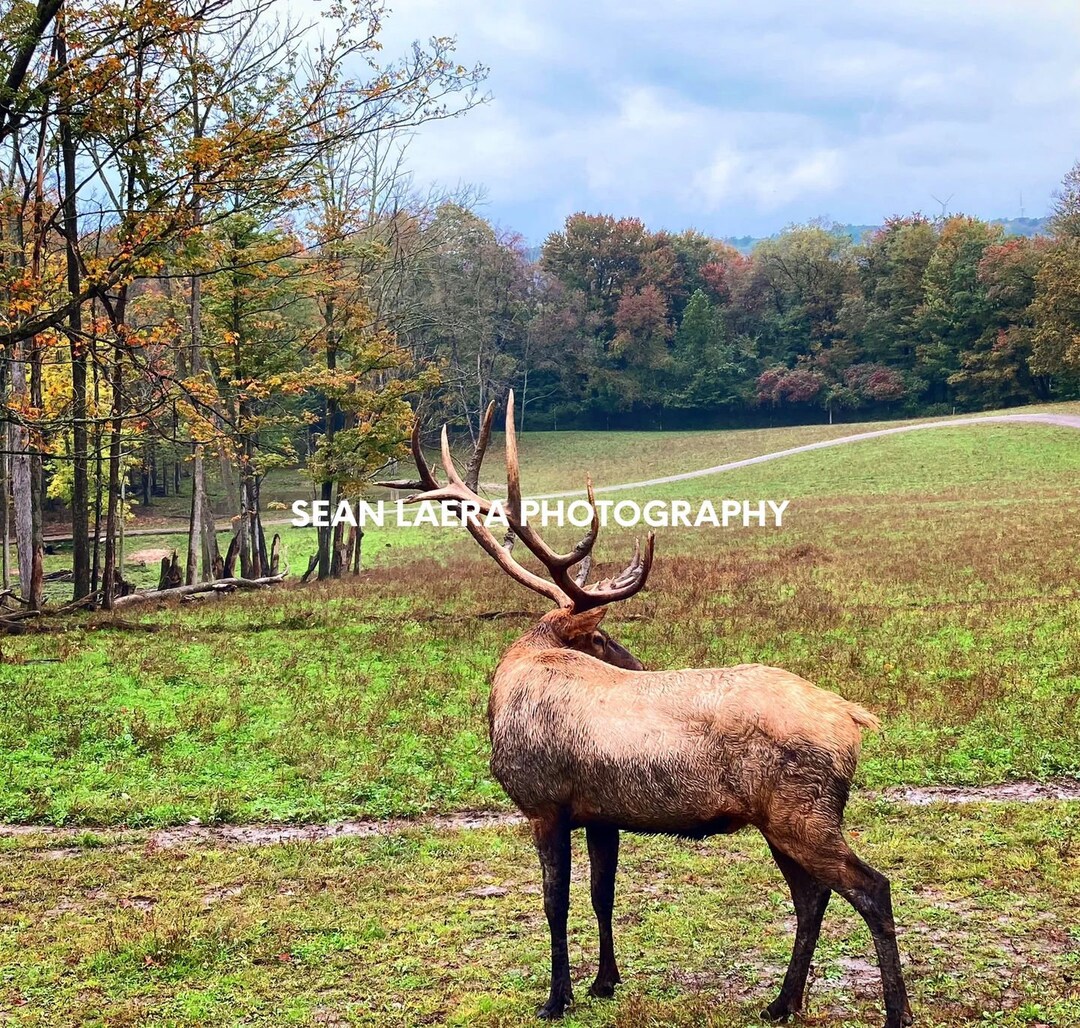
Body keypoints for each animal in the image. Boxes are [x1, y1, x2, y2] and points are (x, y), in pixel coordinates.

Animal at [383, 393, 913, 1028]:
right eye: (603, 638)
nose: (640, 664)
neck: (507, 687)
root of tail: (853, 719)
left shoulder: (544, 803)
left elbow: (555, 902)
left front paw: (556, 997)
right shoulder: (599, 812)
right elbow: (600, 894)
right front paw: (604, 982)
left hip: (802, 812)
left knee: (872, 888)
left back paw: (893, 1012)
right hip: (781, 820)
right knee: (813, 896)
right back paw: (781, 1003)